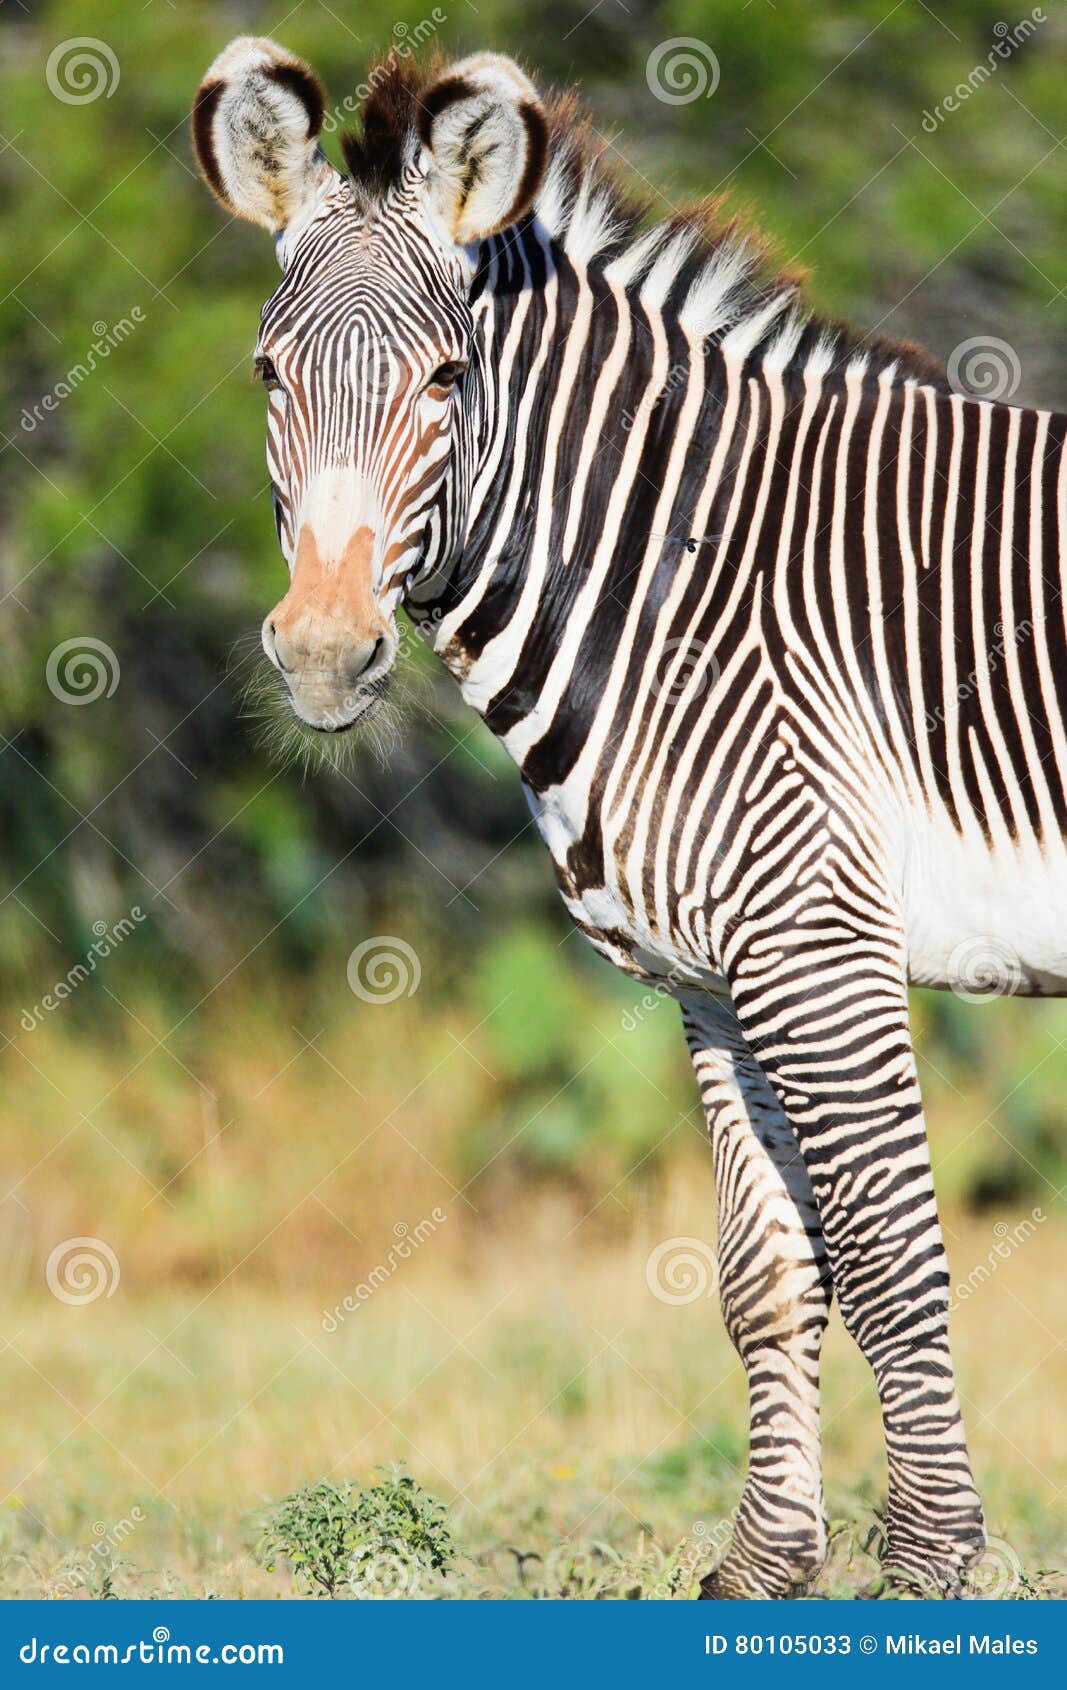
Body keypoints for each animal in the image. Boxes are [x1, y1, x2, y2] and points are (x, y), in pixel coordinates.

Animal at [192, 36, 1066, 1599]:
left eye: (448, 376)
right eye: (265, 374)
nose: (325, 655)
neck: (683, 579)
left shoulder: (816, 943)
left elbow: (888, 1258)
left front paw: (928, 1571)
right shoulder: (714, 976)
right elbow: (762, 1273)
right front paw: (764, 1572)